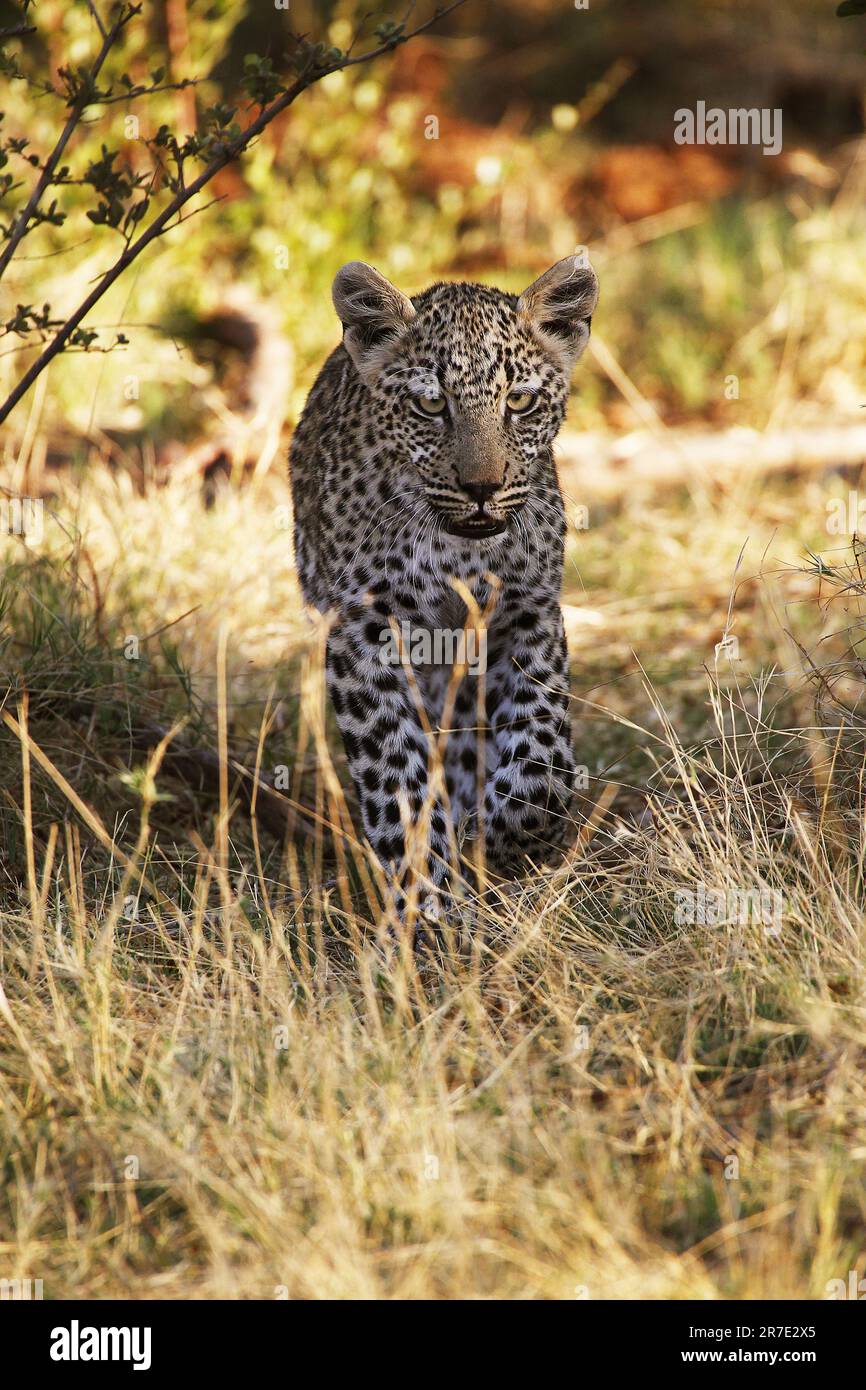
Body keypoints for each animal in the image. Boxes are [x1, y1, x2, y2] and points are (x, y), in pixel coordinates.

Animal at [289, 254, 599, 914]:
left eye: (520, 401)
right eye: (431, 409)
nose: (482, 488)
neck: (459, 552)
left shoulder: (529, 614)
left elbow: (544, 759)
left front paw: (503, 835)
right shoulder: (365, 632)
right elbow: (396, 771)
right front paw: (425, 897)